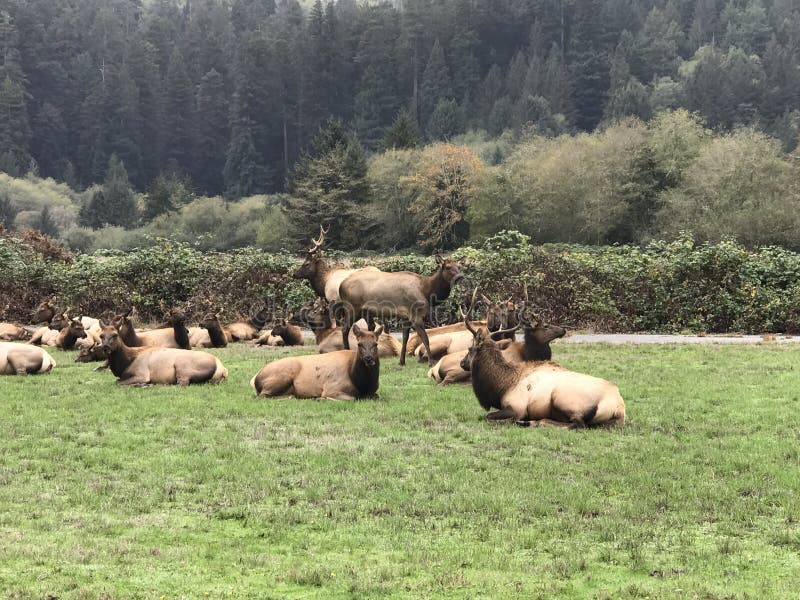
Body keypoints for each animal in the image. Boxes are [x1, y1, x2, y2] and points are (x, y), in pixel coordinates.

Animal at [98, 326, 227, 386]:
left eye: (115, 335)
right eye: (101, 336)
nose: (105, 347)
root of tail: (223, 369)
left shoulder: (142, 374)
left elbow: (117, 382)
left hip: (182, 366)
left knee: (180, 384)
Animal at [250, 323, 382, 400]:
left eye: (375, 344)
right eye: (359, 344)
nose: (368, 358)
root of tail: (256, 379)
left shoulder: (372, 393)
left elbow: (376, 395)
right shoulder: (331, 388)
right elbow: (353, 398)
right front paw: (320, 398)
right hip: (281, 377)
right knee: (262, 396)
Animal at [458, 290, 625, 428]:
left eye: (469, 348)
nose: (462, 362)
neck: (502, 386)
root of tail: (618, 407)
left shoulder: (517, 407)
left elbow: (488, 417)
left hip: (562, 398)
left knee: (577, 424)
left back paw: (533, 422)